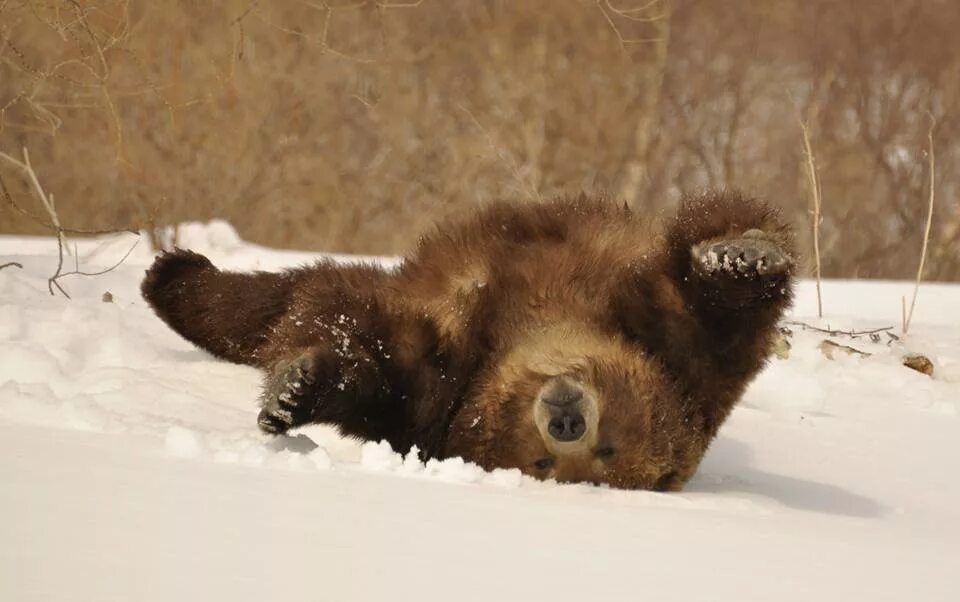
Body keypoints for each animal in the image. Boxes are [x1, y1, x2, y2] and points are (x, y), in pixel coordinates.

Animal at [142, 190, 796, 490]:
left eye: (607, 451)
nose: (566, 421)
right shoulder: (673, 337)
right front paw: (741, 256)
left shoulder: (431, 405)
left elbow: (366, 367)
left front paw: (291, 393)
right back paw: (175, 273)